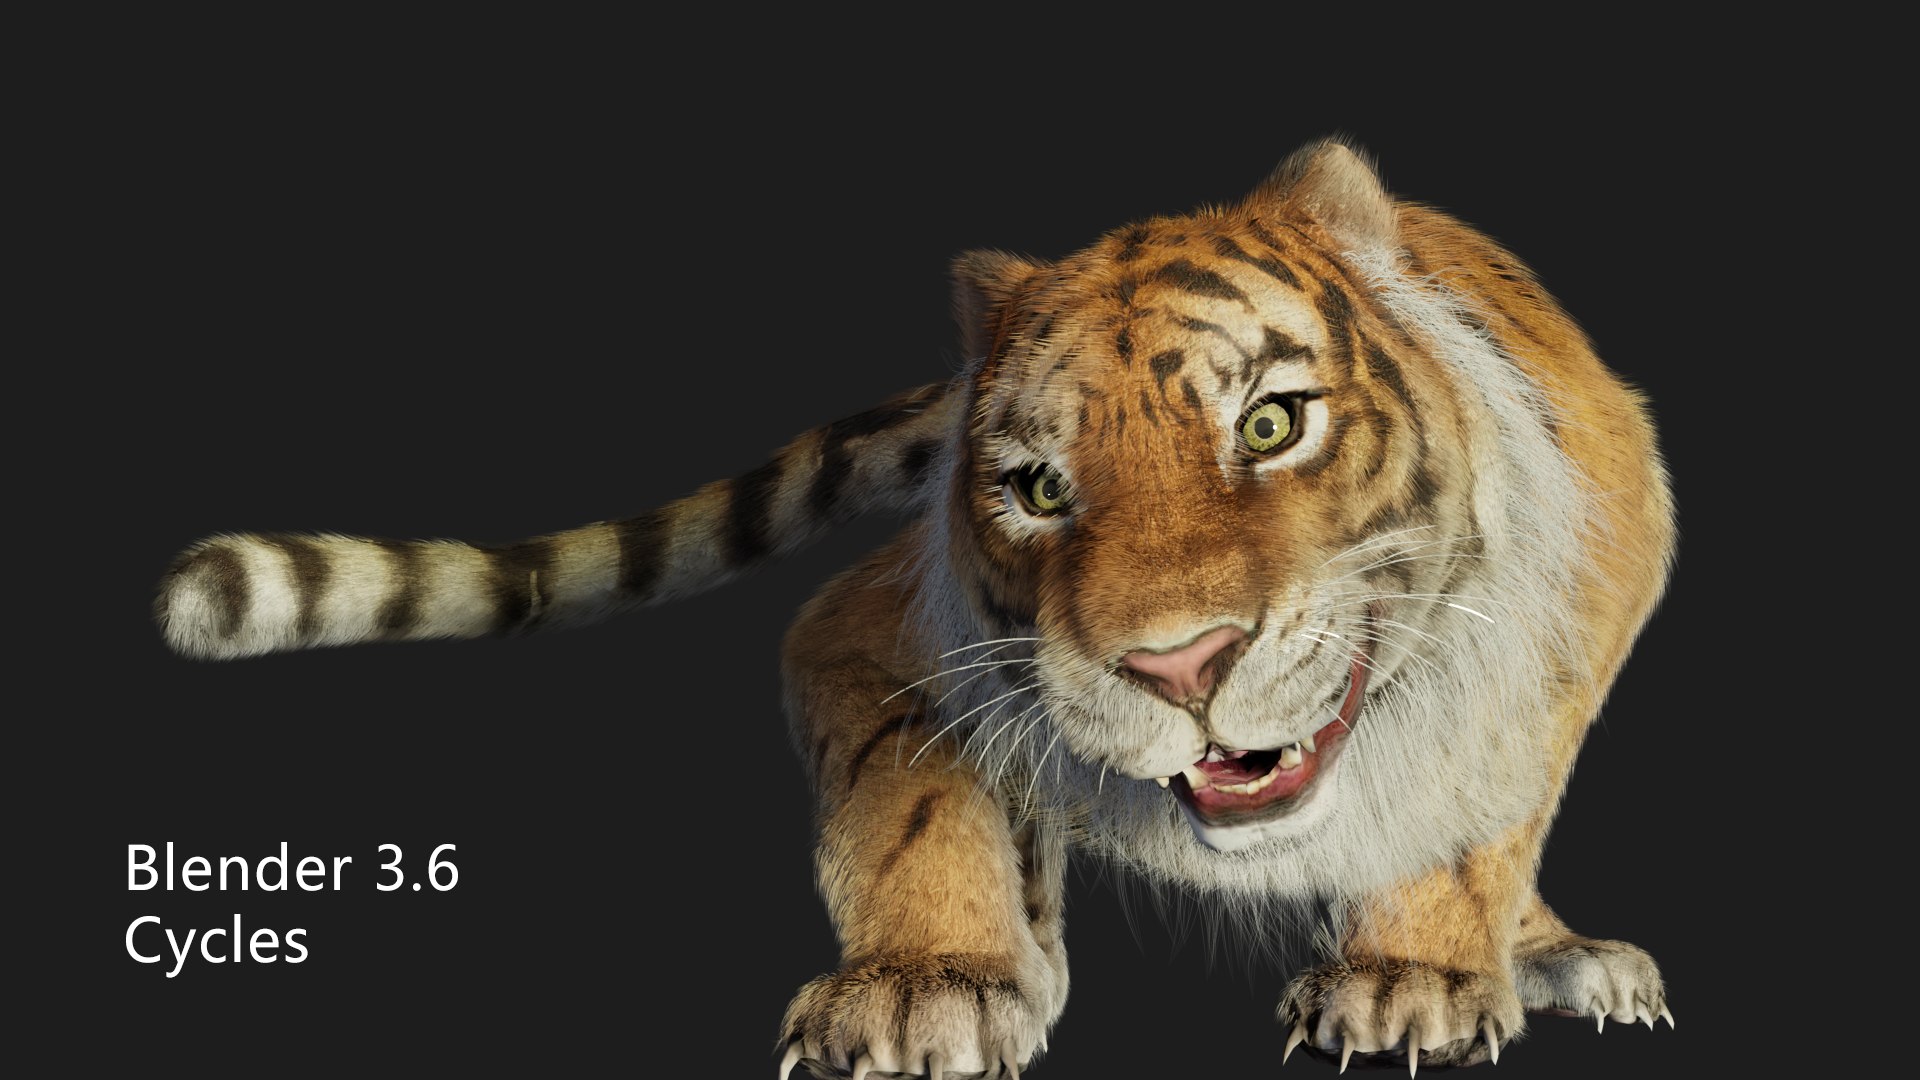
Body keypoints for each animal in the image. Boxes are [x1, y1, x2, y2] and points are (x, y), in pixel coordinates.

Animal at [157, 139, 1675, 1076]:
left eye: (1271, 422)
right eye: (1040, 488)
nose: (1179, 665)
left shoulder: (1569, 615)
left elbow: (1473, 809)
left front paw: (1410, 978)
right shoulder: (870, 638)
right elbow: (913, 798)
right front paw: (929, 986)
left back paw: (1560, 956)